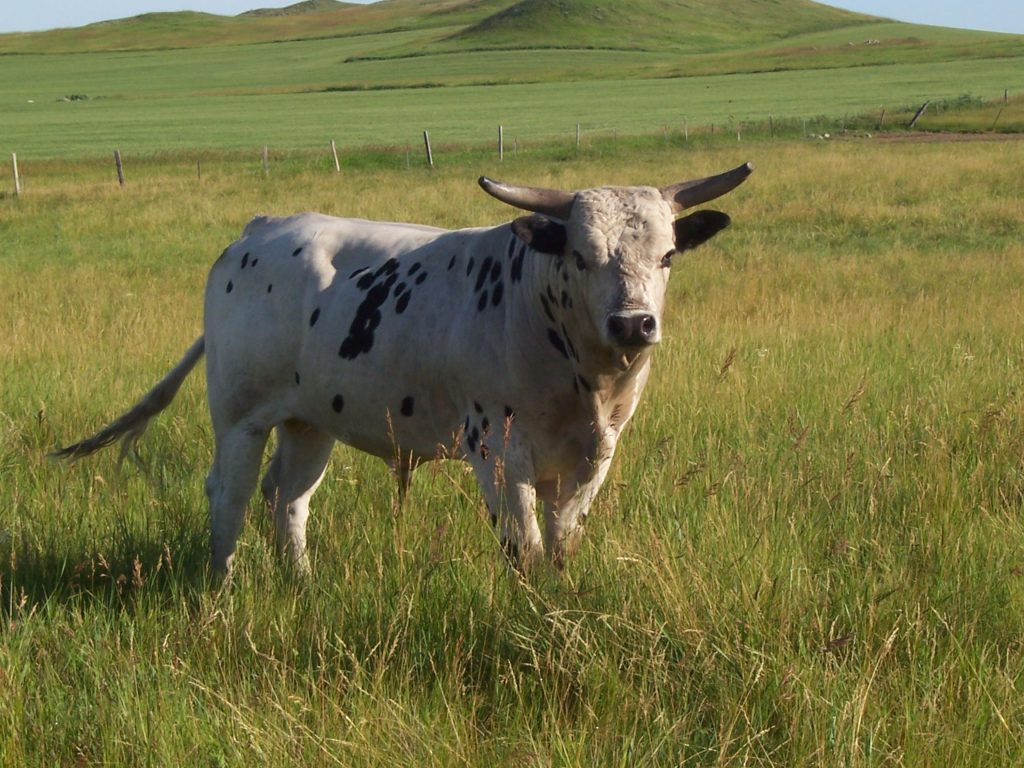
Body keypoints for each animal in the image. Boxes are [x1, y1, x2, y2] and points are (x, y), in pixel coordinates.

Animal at [55, 162, 752, 580]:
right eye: (581, 256)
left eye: (668, 256)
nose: (633, 324)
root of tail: (255, 232)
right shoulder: (498, 451)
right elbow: (524, 547)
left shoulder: (595, 455)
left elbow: (561, 544)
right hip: (238, 416)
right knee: (230, 495)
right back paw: (220, 594)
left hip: (310, 421)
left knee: (288, 496)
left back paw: (300, 584)